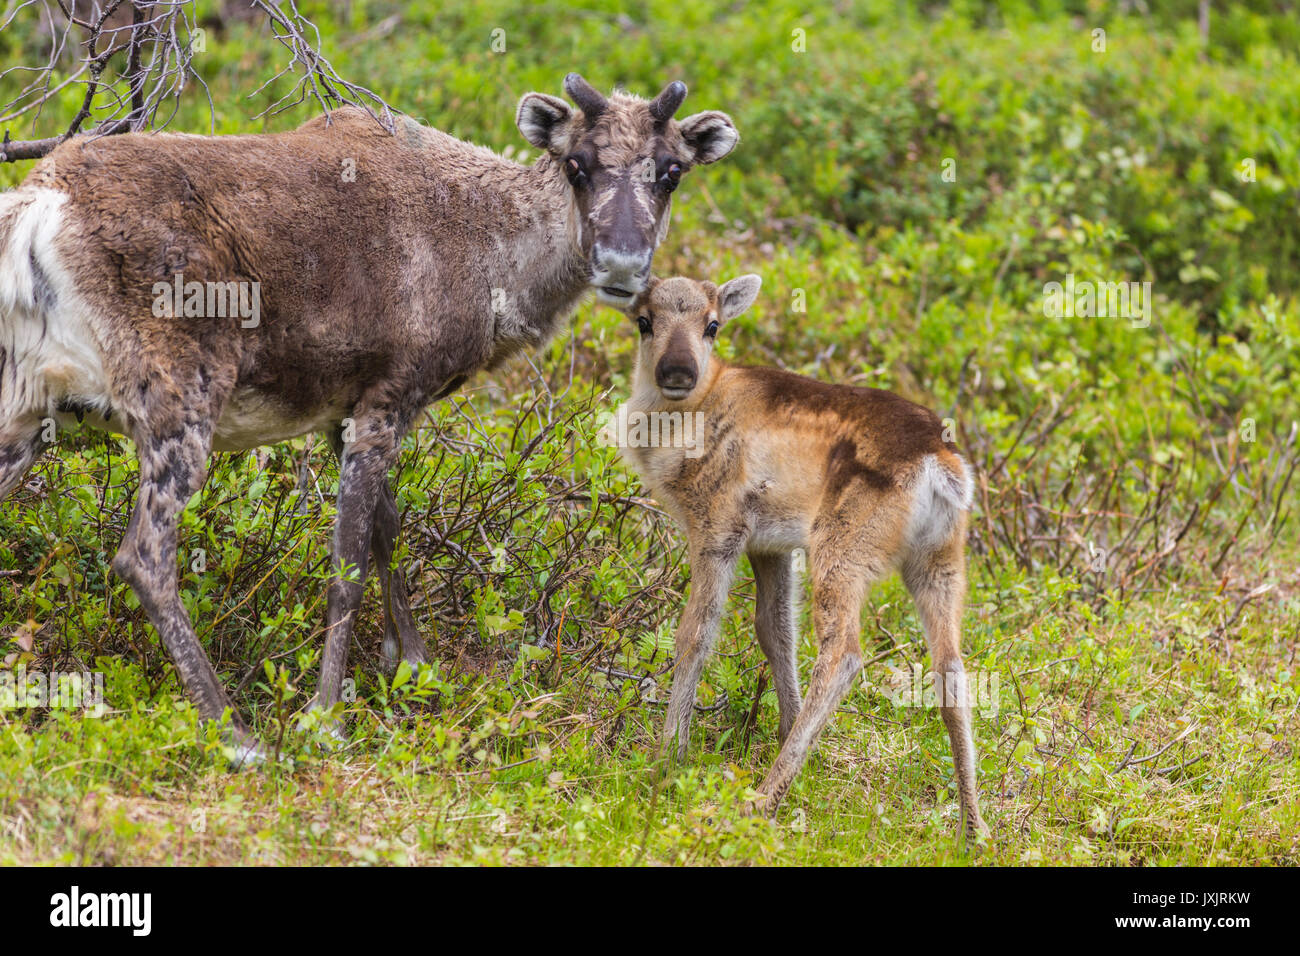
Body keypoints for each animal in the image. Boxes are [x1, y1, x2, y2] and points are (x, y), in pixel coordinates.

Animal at [0, 74, 739, 762]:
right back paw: (234, 730)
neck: (494, 253)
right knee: (145, 555)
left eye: (671, 170)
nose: (621, 265)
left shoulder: (344, 412)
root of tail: (37, 210)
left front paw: (413, 665)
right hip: (179, 396)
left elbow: (387, 527)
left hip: (29, 406)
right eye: (577, 163)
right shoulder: (390, 394)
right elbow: (349, 560)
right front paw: (325, 715)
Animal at [609, 274, 989, 840]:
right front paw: (784, 728)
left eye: (712, 324)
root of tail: (941, 466)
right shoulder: (770, 544)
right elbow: (773, 631)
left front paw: (668, 755)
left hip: (843, 548)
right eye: (644, 320)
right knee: (952, 668)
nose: (677, 371)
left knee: (844, 654)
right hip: (941, 561)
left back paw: (762, 799)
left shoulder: (718, 523)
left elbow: (696, 633)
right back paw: (973, 829)